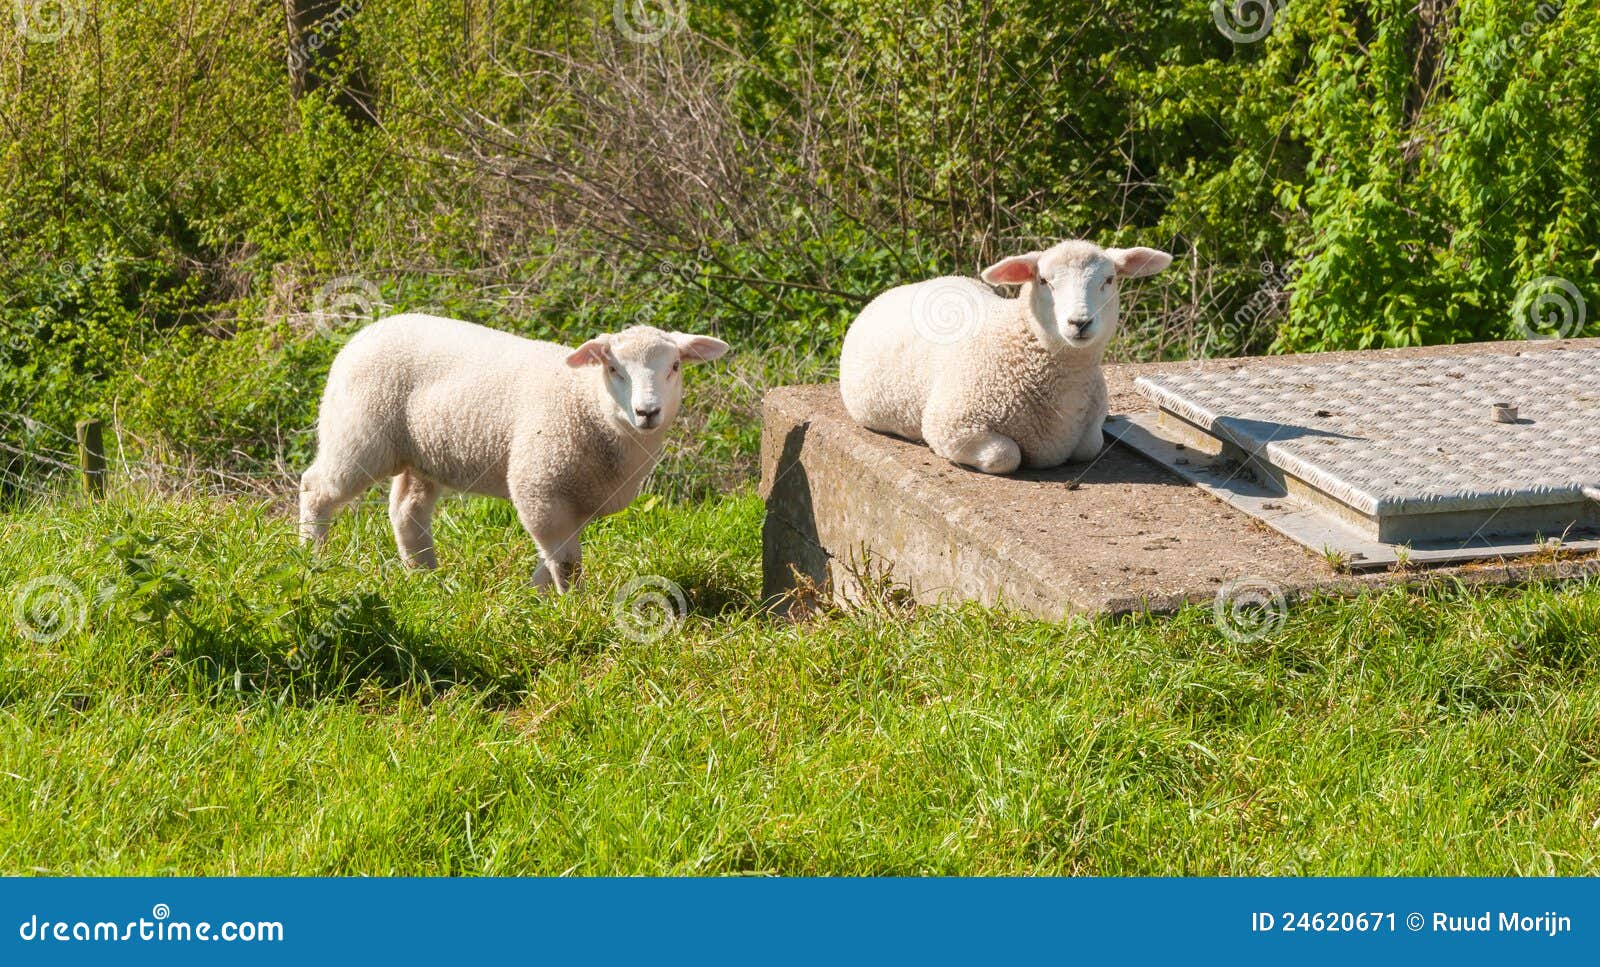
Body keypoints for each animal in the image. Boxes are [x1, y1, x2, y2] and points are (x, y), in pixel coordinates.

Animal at [298, 313, 729, 592]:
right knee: (315, 488)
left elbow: (553, 556)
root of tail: (365, 332)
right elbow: (566, 564)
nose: (647, 412)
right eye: (613, 370)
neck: (587, 402)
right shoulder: (540, 486)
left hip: (424, 453)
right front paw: (574, 607)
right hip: (357, 432)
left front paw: (535, 596)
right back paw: (312, 557)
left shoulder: (578, 499)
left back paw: (425, 577)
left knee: (406, 510)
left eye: (675, 366)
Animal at [838, 240, 1172, 475]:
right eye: (1044, 281)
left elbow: (1089, 446)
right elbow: (1006, 455)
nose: (1080, 322)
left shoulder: (1088, 429)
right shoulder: (952, 424)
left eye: (1109, 280)